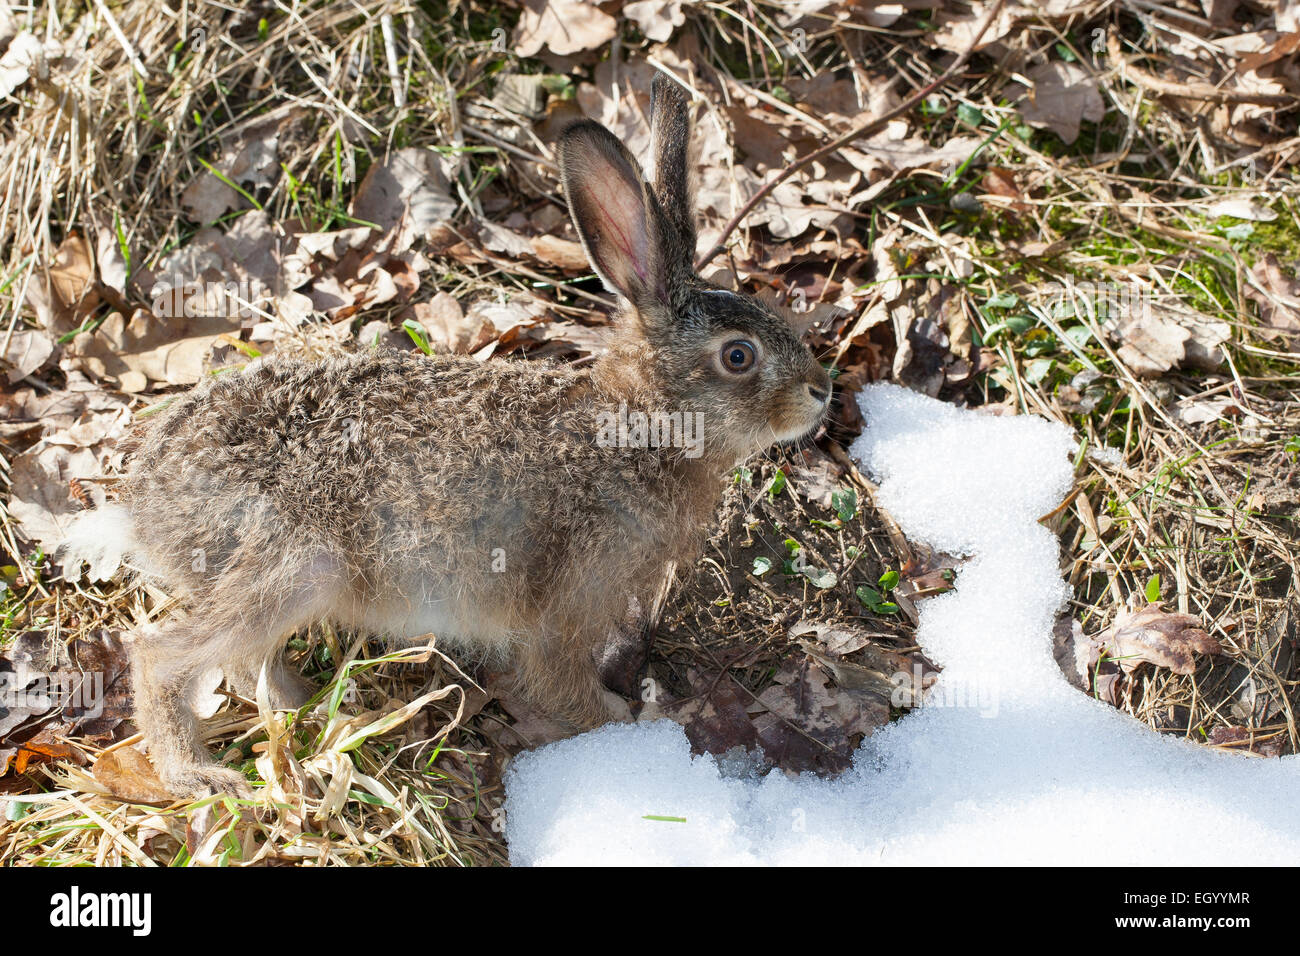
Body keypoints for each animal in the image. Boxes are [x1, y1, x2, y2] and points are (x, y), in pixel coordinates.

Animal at [58, 74, 832, 799]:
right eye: (739, 356)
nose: (821, 392)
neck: (641, 424)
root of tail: (145, 506)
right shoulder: (567, 605)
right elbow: (561, 686)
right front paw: (636, 724)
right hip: (295, 563)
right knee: (164, 653)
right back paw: (198, 774)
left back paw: (309, 707)